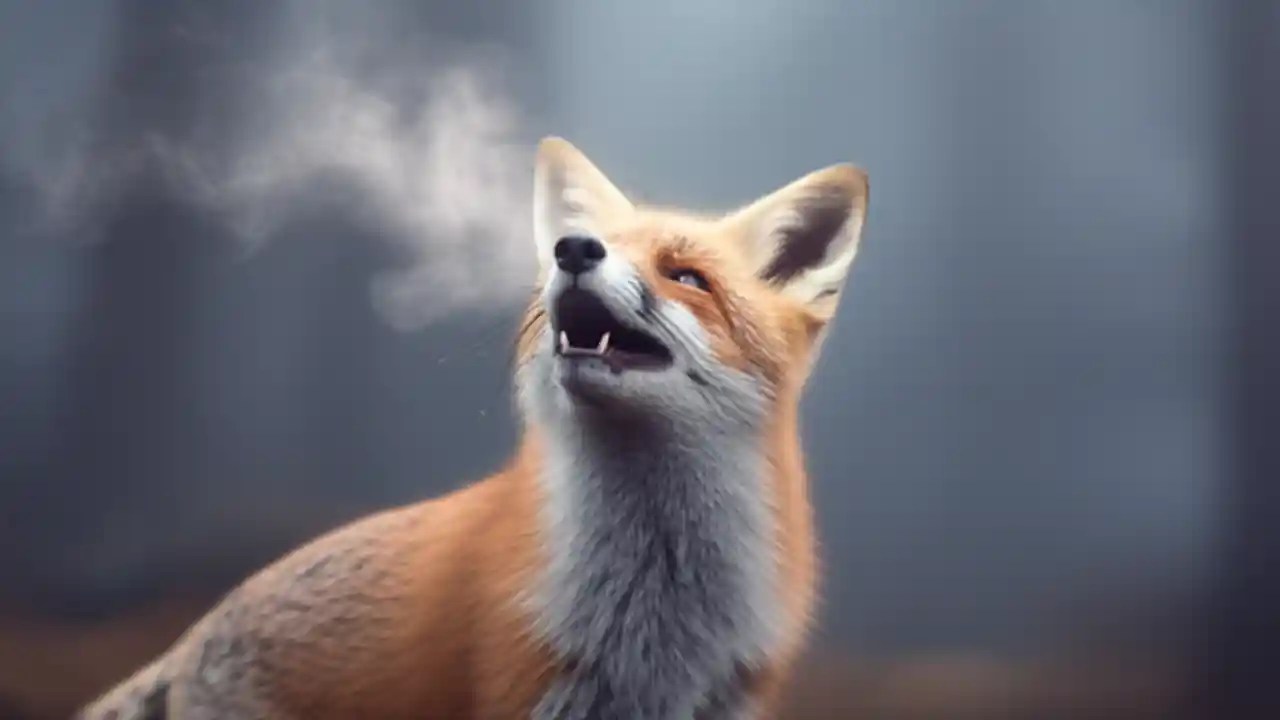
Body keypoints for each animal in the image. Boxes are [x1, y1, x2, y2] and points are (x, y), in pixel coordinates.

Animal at [77, 137, 870, 720]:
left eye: (687, 277)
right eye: (590, 242)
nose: (573, 249)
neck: (661, 615)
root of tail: (201, 628)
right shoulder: (534, 692)